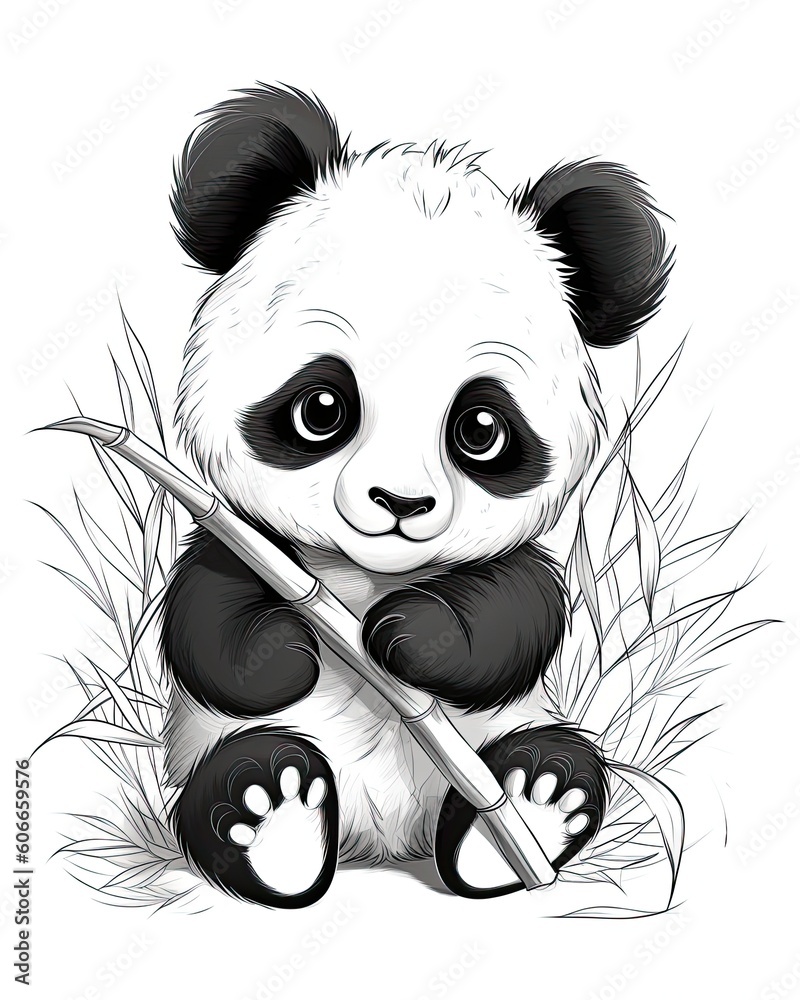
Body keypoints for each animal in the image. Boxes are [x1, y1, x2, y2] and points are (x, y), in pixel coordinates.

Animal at [160, 83, 673, 908]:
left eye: (481, 429)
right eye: (322, 408)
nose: (399, 504)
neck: (363, 577)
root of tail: (381, 843)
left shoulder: (508, 572)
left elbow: (519, 613)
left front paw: (406, 633)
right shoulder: (239, 536)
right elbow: (206, 620)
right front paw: (289, 645)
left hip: (489, 745)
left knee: (551, 760)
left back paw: (530, 810)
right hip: (211, 751)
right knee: (234, 778)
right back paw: (273, 816)